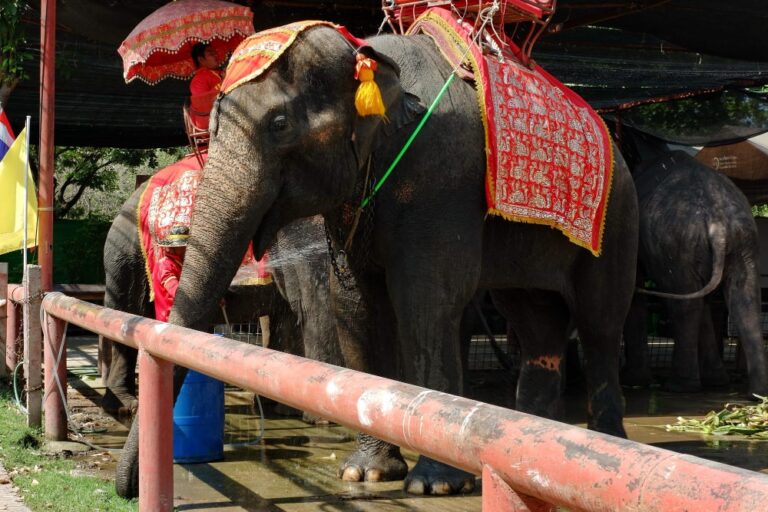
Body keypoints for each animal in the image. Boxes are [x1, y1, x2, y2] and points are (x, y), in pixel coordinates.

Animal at [115, 25, 639, 498]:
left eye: (279, 124)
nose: (127, 490)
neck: (366, 56)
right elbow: (356, 305)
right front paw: (366, 473)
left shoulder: (440, 176)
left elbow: (426, 300)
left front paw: (436, 484)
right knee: (534, 321)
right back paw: (528, 446)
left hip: (615, 221)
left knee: (599, 321)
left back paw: (599, 445)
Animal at [618, 128, 768, 396]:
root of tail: (719, 225)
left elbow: (634, 287)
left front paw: (633, 380)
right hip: (744, 241)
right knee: (745, 299)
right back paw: (757, 393)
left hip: (677, 244)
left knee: (684, 303)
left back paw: (679, 386)